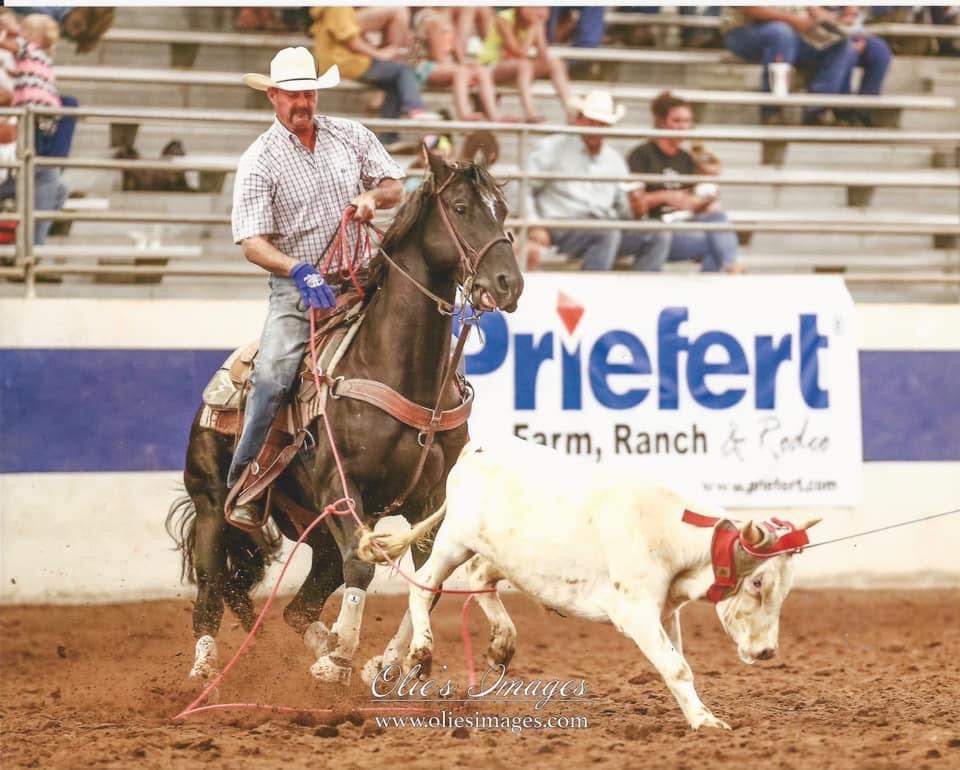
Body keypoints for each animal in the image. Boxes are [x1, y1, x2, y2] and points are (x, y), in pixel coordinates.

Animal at [166, 150, 524, 685]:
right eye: (461, 208)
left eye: (500, 210)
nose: (509, 283)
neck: (399, 370)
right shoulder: (340, 488)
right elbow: (363, 566)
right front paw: (341, 658)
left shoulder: (429, 504)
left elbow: (428, 581)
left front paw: (391, 659)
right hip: (212, 506)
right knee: (212, 587)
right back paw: (208, 665)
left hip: (315, 532)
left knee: (296, 608)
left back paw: (321, 643)